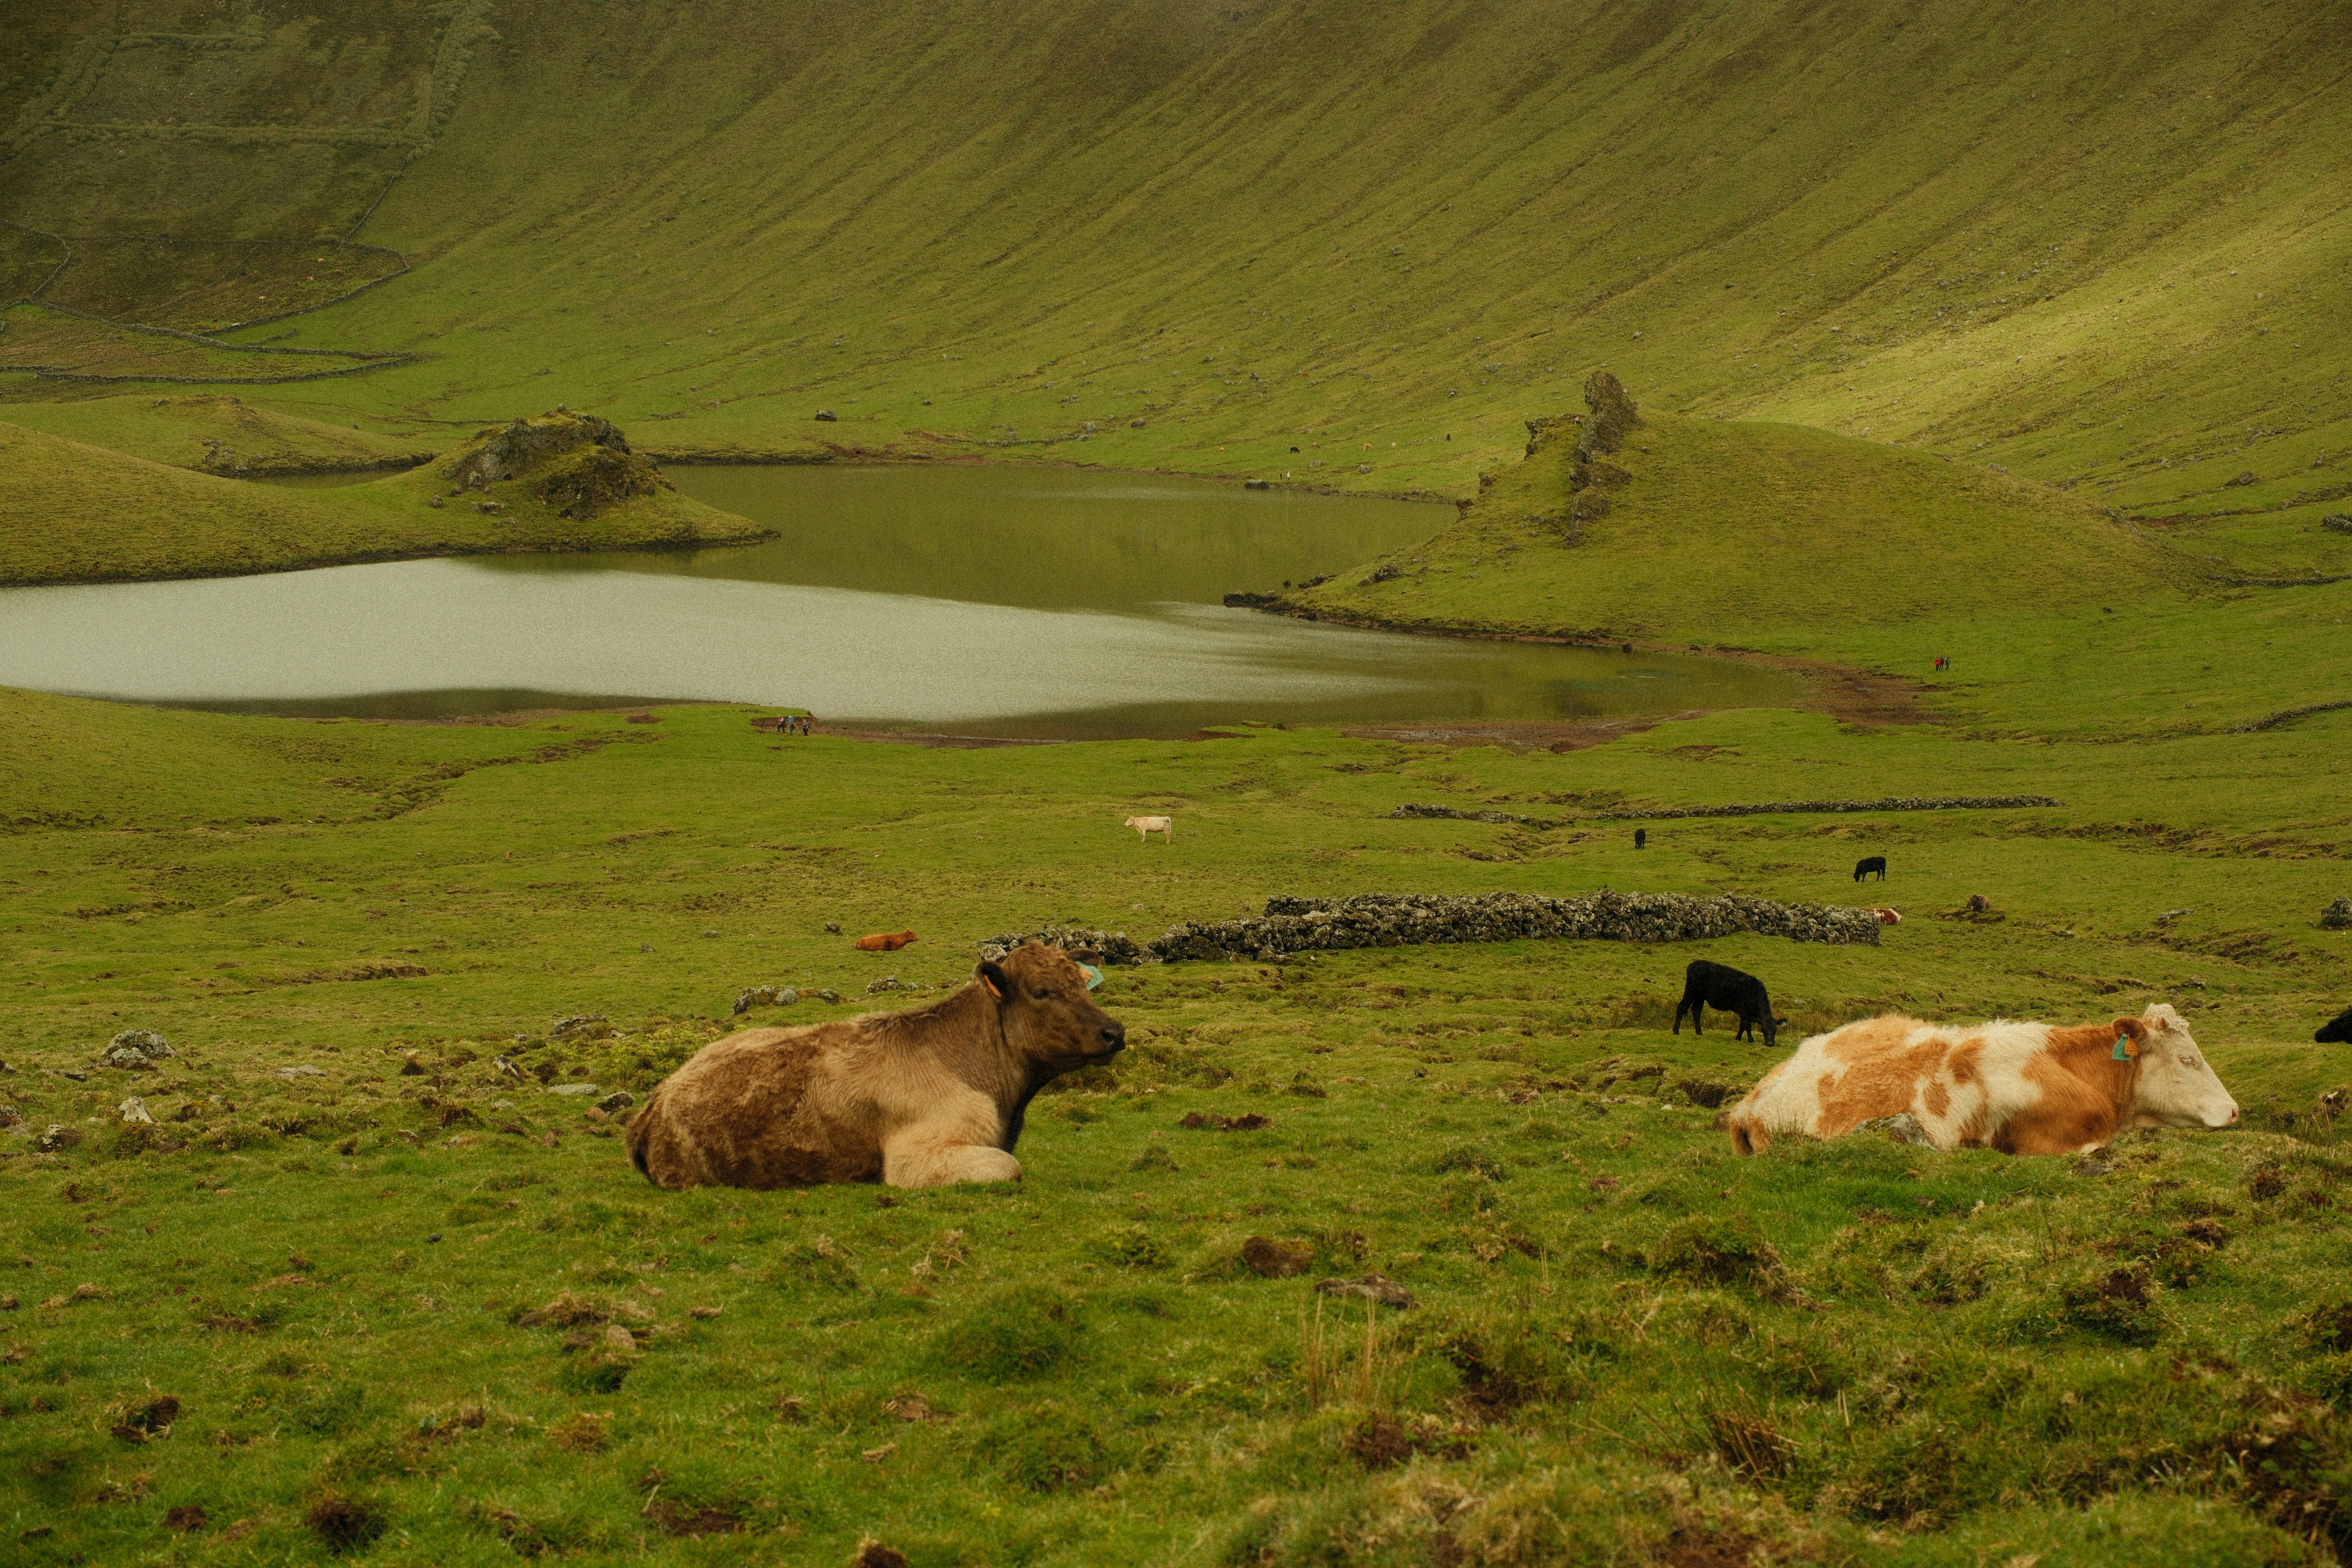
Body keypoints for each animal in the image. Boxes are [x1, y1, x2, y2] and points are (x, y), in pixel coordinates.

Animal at [626, 942, 1125, 1190]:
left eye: (1084, 982)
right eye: (1042, 992)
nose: (1114, 1032)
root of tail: (655, 1101)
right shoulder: (916, 1158)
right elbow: (1009, 1168)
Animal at [1124, 815, 1174, 843]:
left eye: (1129, 821)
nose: (1125, 824)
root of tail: (1166, 818)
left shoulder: (1144, 830)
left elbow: (1144, 835)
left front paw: (1142, 841)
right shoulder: (1146, 831)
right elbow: (1145, 836)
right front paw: (1144, 840)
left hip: (1167, 831)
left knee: (1168, 837)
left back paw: (1167, 843)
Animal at [1673, 959, 1785, 1048]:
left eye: (1775, 1030)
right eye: (1764, 1030)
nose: (1770, 1044)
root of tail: (1693, 964)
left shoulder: (1746, 1014)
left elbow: (1743, 1026)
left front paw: (1738, 1038)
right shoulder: (1744, 1011)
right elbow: (1747, 1026)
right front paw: (1751, 1040)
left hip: (1700, 996)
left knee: (1696, 1010)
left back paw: (1699, 1033)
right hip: (1691, 991)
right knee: (1682, 1007)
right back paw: (1676, 1032)